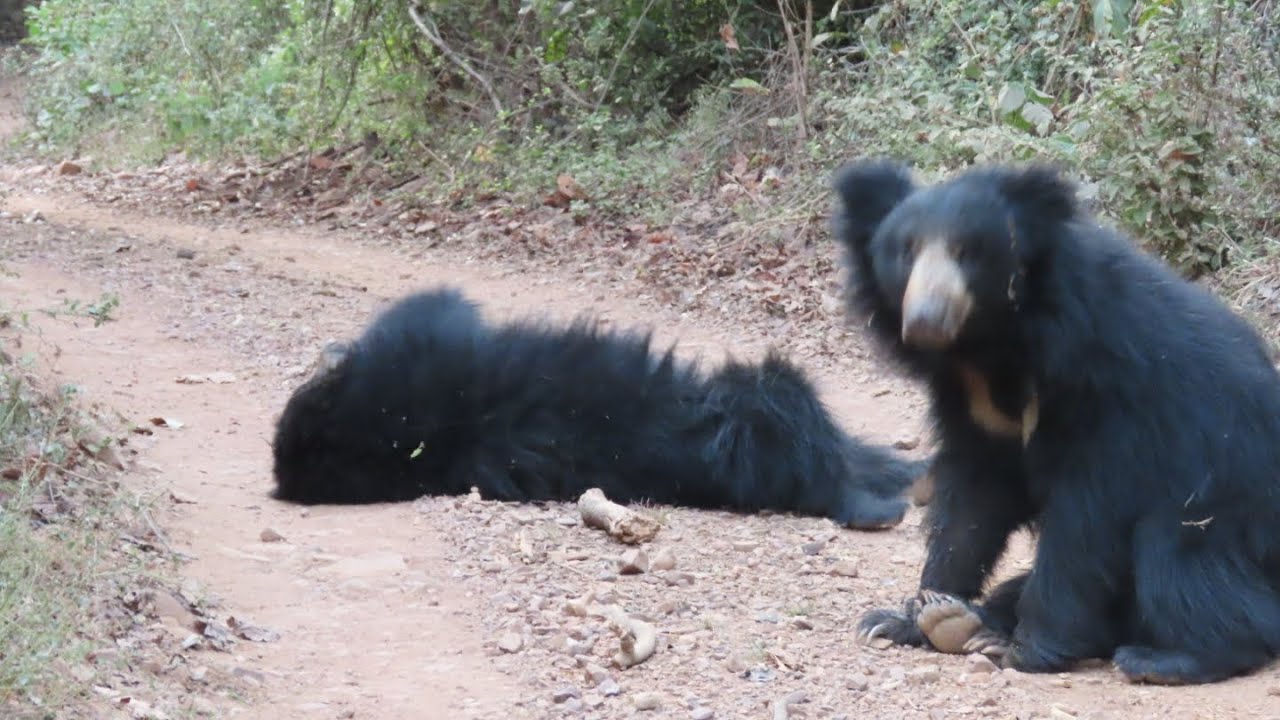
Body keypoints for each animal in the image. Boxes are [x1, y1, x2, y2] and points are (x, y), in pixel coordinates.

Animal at [829, 158, 1280, 685]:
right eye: (905, 252)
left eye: (967, 253)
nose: (926, 320)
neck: (993, 347)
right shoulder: (975, 410)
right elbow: (973, 503)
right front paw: (910, 615)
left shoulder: (1105, 390)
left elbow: (1084, 519)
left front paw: (1028, 649)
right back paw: (968, 624)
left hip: (1234, 508)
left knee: (1178, 557)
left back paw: (1163, 658)